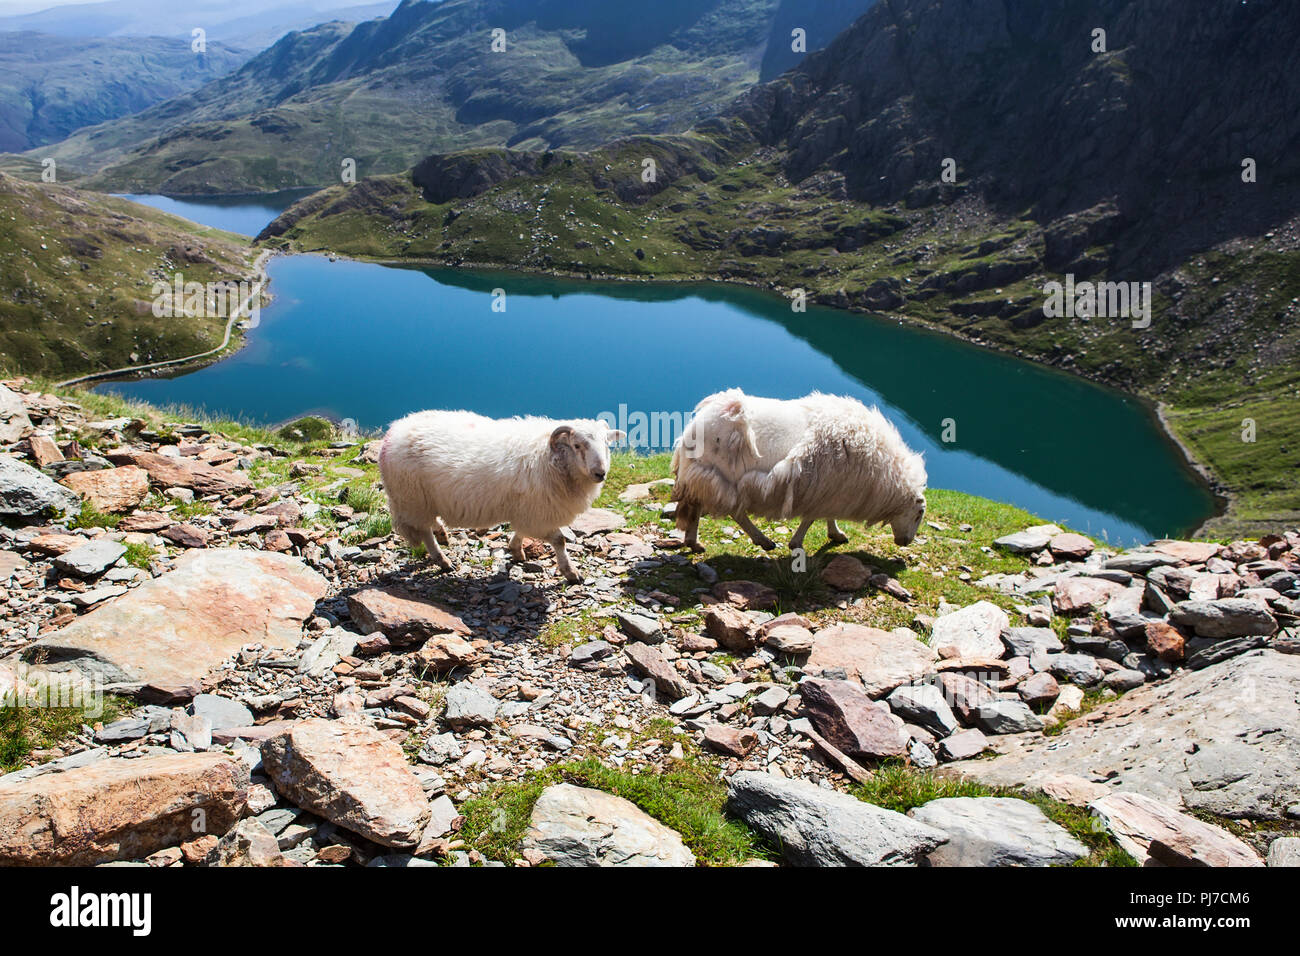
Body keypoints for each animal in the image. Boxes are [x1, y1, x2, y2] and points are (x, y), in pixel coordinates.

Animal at [379, 410, 623, 583]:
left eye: (607, 444)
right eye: (577, 445)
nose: (600, 473)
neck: (550, 458)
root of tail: (393, 431)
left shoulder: (529, 510)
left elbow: (522, 530)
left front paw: (516, 550)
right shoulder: (538, 512)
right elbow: (559, 540)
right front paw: (570, 572)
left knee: (429, 524)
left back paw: (442, 534)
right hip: (413, 498)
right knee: (424, 531)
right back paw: (442, 559)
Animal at [671, 389, 927, 553]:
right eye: (919, 513)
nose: (905, 542)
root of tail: (695, 423)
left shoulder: (831, 488)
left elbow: (826, 515)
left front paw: (835, 533)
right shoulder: (822, 488)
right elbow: (811, 518)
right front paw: (798, 543)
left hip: (707, 476)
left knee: (705, 507)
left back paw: (694, 542)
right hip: (719, 476)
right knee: (733, 511)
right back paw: (762, 540)